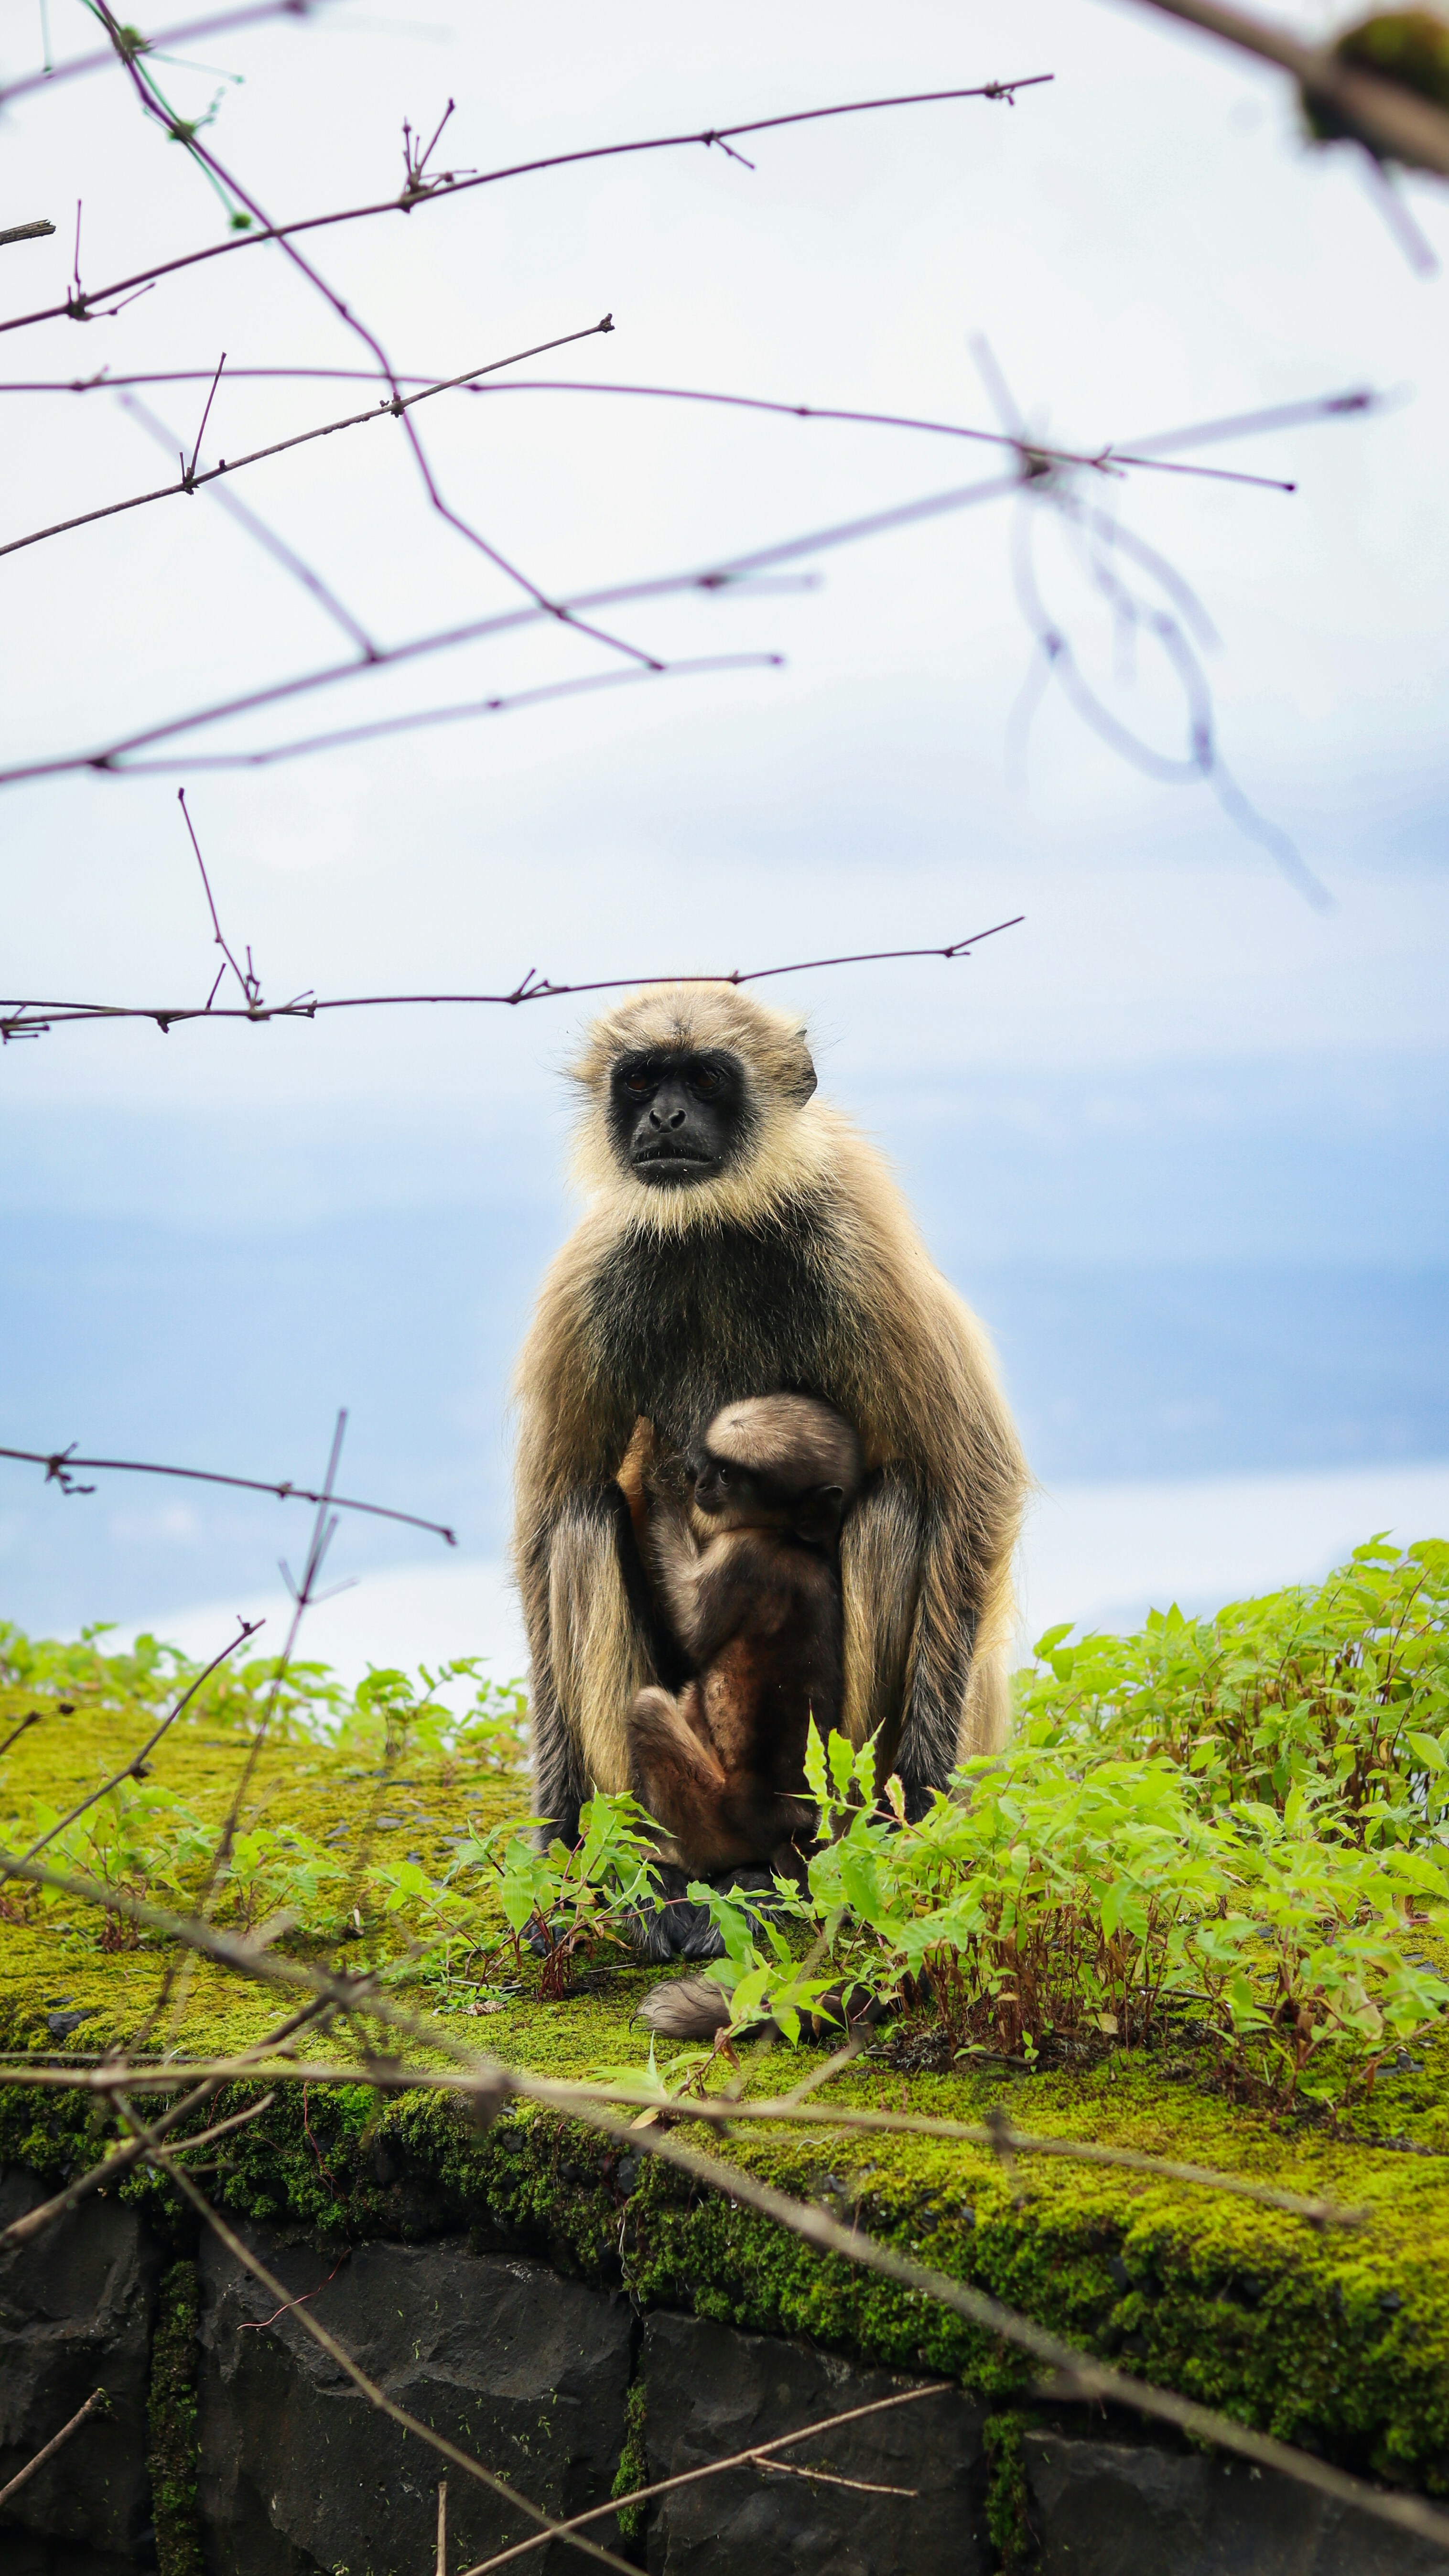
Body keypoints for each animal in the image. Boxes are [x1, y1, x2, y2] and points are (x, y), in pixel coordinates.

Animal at [625, 1393, 864, 1880]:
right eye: (713, 1468)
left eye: (725, 1475)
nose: (698, 1482)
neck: (794, 1540)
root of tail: (783, 1832)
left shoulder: (744, 1552)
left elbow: (694, 1632)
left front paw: (654, 1472)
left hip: (715, 1810)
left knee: (649, 1707)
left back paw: (677, 1855)